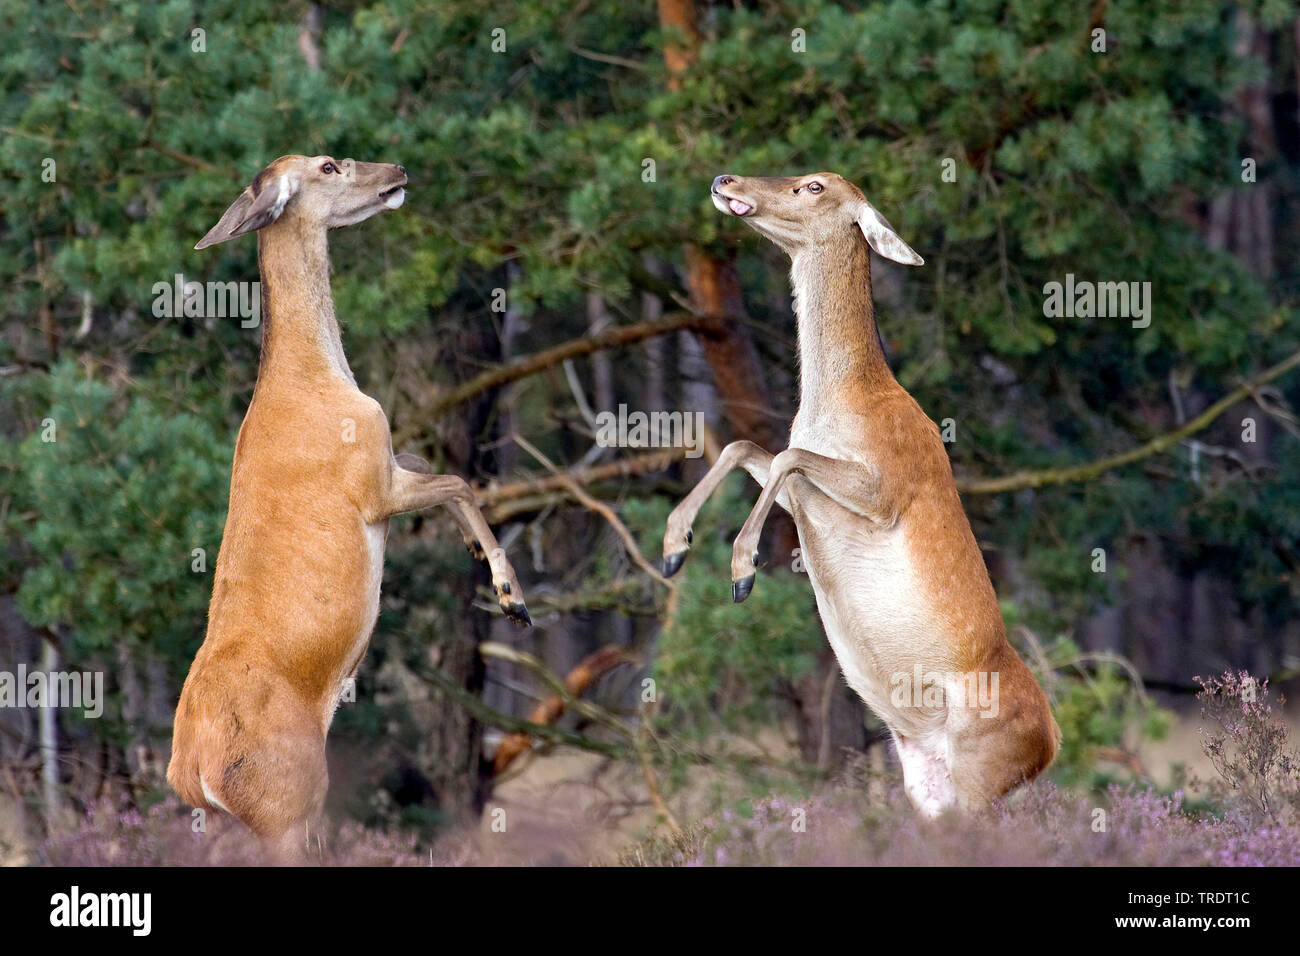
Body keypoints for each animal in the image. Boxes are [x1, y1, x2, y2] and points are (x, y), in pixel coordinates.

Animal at [167, 154, 532, 860]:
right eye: (328, 164)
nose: (398, 170)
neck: (315, 376)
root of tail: (192, 774)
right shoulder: (369, 482)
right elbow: (458, 479)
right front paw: (510, 595)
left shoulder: (385, 460)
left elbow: (430, 462)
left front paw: (476, 552)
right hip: (290, 795)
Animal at [661, 173, 1060, 815]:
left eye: (813, 185)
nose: (725, 178)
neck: (840, 405)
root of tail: (1051, 744)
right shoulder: (810, 487)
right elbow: (746, 447)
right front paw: (675, 547)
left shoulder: (885, 487)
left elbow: (786, 458)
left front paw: (741, 572)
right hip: (930, 783)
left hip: (981, 774)